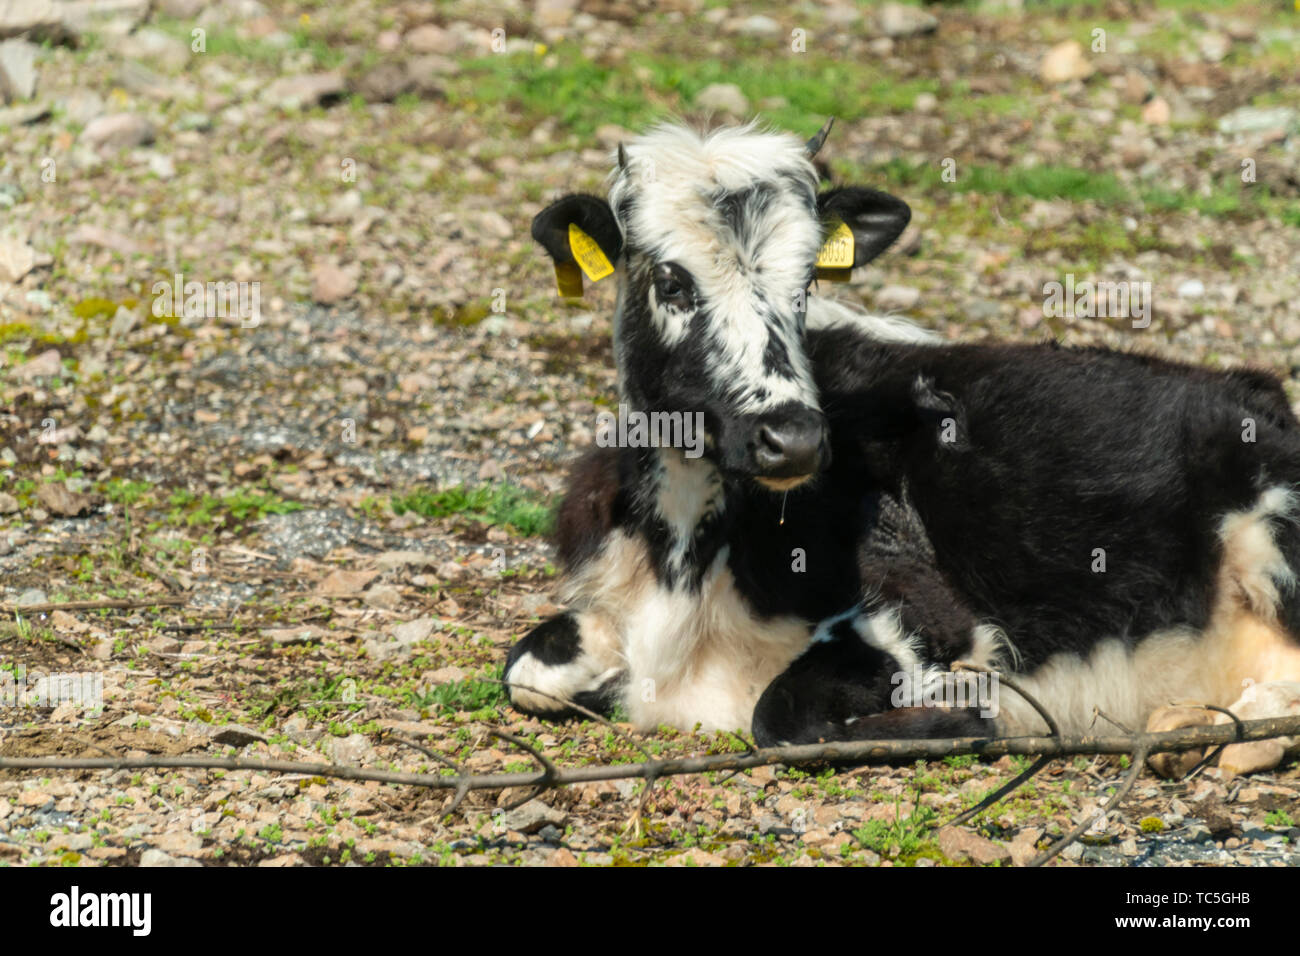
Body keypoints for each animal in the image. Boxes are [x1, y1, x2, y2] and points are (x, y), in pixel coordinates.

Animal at [505, 119, 1300, 750]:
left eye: (805, 285)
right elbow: (526, 668)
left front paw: (971, 711)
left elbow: (783, 715)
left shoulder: (927, 613)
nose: (793, 437)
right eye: (672, 281)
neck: (685, 570)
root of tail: (1252, 385)